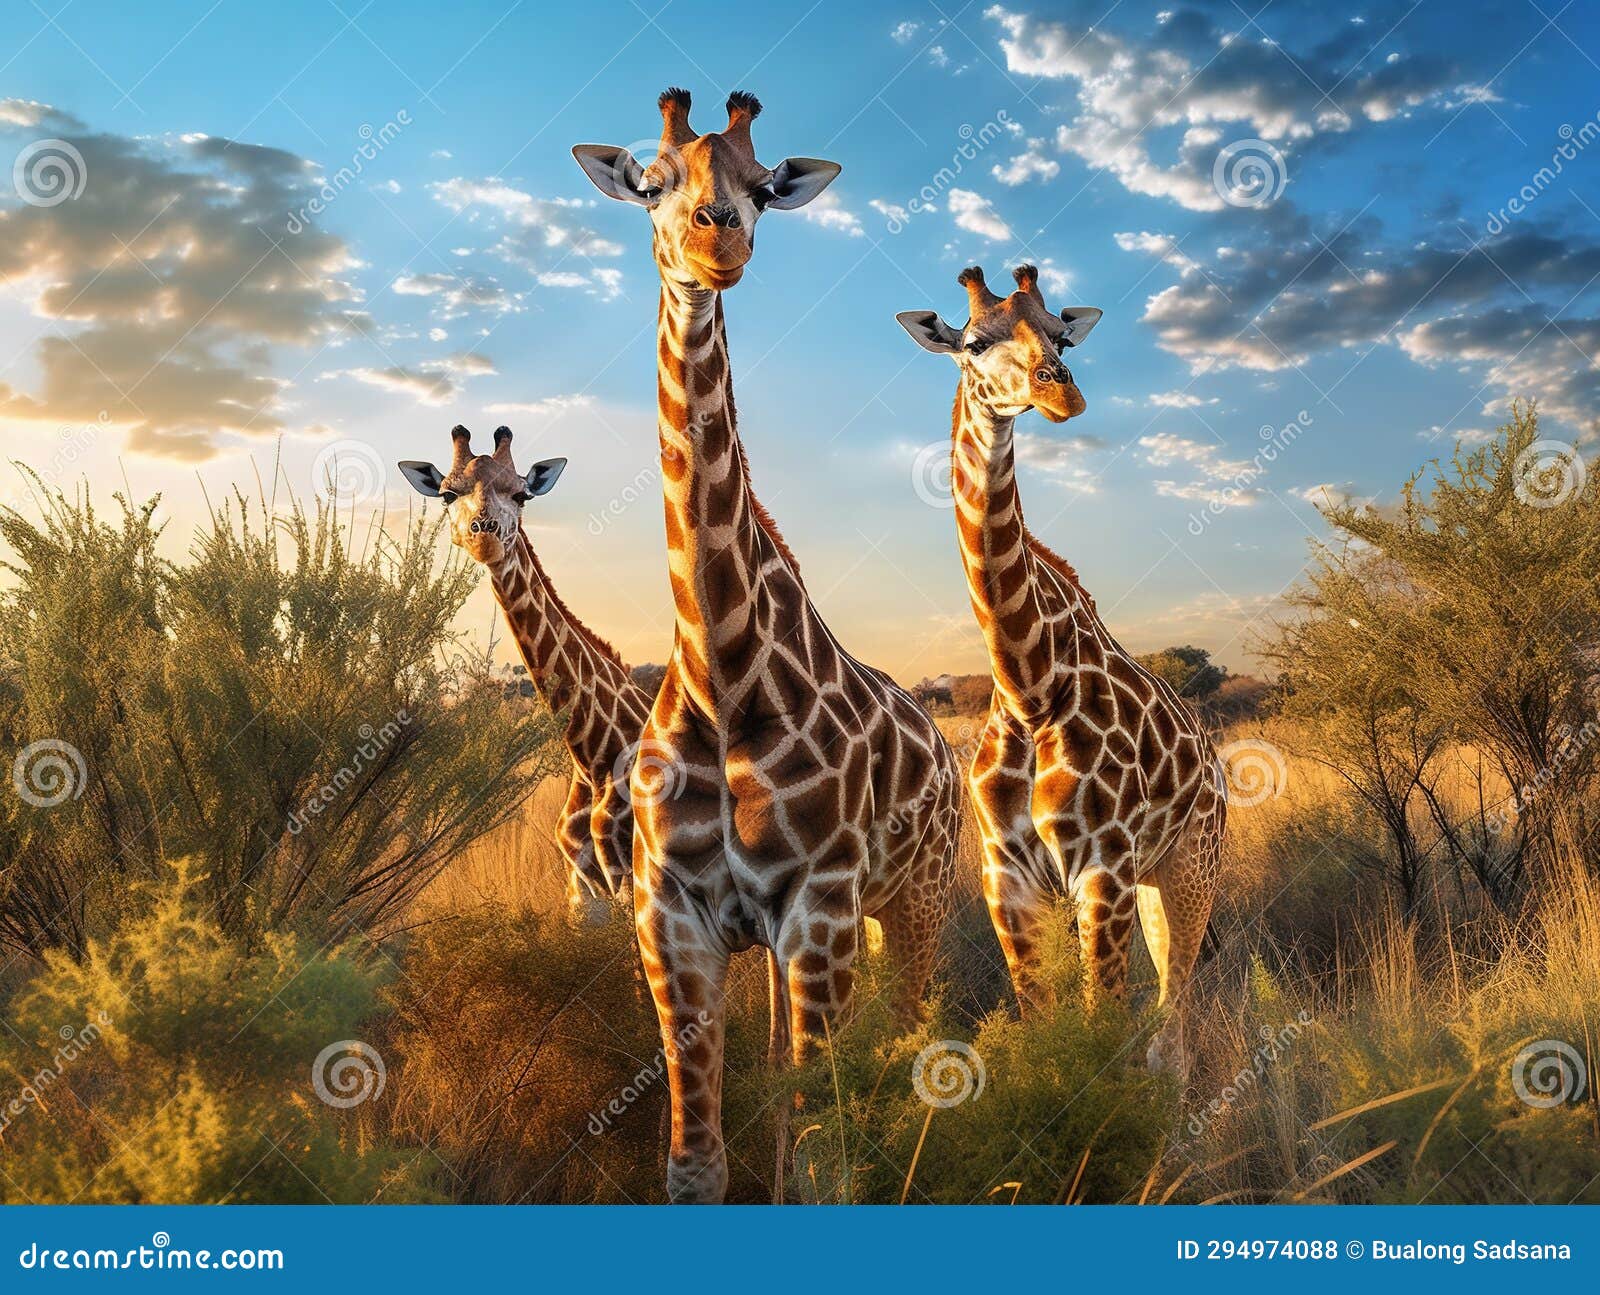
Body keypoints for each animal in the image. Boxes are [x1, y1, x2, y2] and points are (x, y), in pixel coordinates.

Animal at [400, 425, 654, 925]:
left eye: (521, 494)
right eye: (447, 494)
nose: (485, 537)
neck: (593, 759)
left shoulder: (636, 883)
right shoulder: (584, 896)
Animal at [575, 89, 961, 1202]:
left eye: (760, 188)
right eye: (652, 184)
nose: (719, 242)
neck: (722, 675)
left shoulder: (819, 904)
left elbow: (827, 1157)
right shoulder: (671, 916)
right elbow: (697, 1164)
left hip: (916, 897)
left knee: (908, 1042)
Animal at [897, 265, 1225, 1077]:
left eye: (1062, 336)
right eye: (974, 342)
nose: (1062, 393)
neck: (1029, 684)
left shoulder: (1101, 868)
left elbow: (1103, 1032)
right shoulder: (1007, 878)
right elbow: (1046, 1030)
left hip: (1191, 866)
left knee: (1174, 1026)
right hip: (1148, 882)